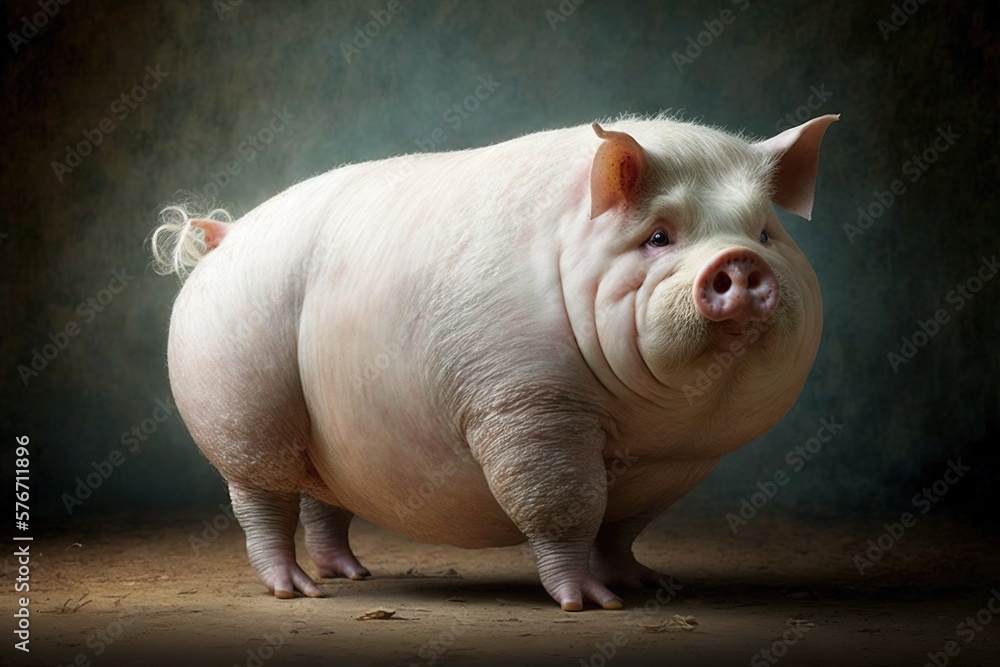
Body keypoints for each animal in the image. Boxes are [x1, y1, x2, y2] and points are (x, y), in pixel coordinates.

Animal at [152, 113, 837, 611]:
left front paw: (646, 585)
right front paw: (590, 604)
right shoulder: (525, 404)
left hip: (329, 438)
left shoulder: (675, 459)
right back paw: (299, 591)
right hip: (238, 402)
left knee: (325, 500)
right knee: (261, 500)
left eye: (765, 232)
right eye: (659, 237)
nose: (739, 261)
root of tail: (223, 235)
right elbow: (564, 505)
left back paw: (354, 574)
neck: (650, 428)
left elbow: (622, 526)